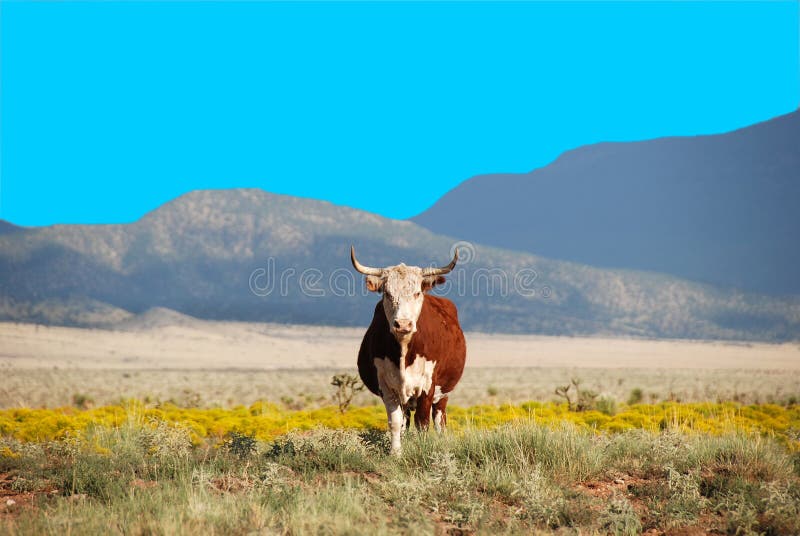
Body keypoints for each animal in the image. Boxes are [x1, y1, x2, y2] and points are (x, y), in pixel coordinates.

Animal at [350, 246, 467, 454]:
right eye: (387, 293)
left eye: (417, 293)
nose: (403, 324)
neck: (404, 351)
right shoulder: (386, 386)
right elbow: (395, 423)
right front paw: (395, 453)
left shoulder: (427, 385)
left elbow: (423, 422)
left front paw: (423, 449)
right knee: (405, 421)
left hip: (443, 393)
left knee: (439, 419)